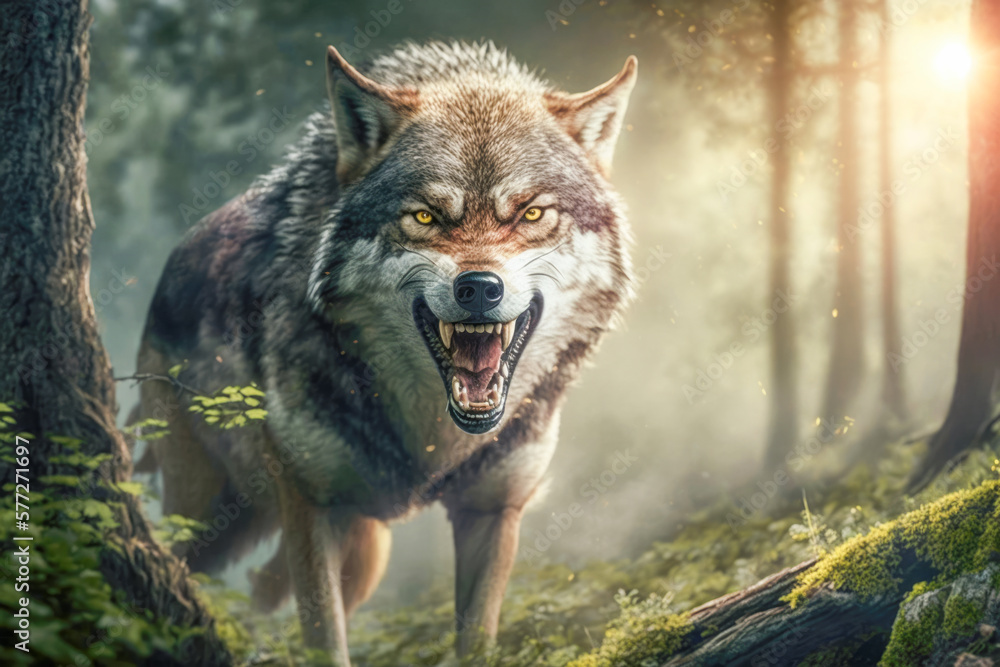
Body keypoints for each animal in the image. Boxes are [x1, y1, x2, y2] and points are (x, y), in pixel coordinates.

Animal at [136, 40, 637, 664]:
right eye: (424, 216)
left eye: (532, 213)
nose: (479, 288)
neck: (433, 442)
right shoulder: (311, 508)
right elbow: (325, 644)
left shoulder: (493, 510)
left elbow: (475, 640)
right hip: (206, 517)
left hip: (363, 551)